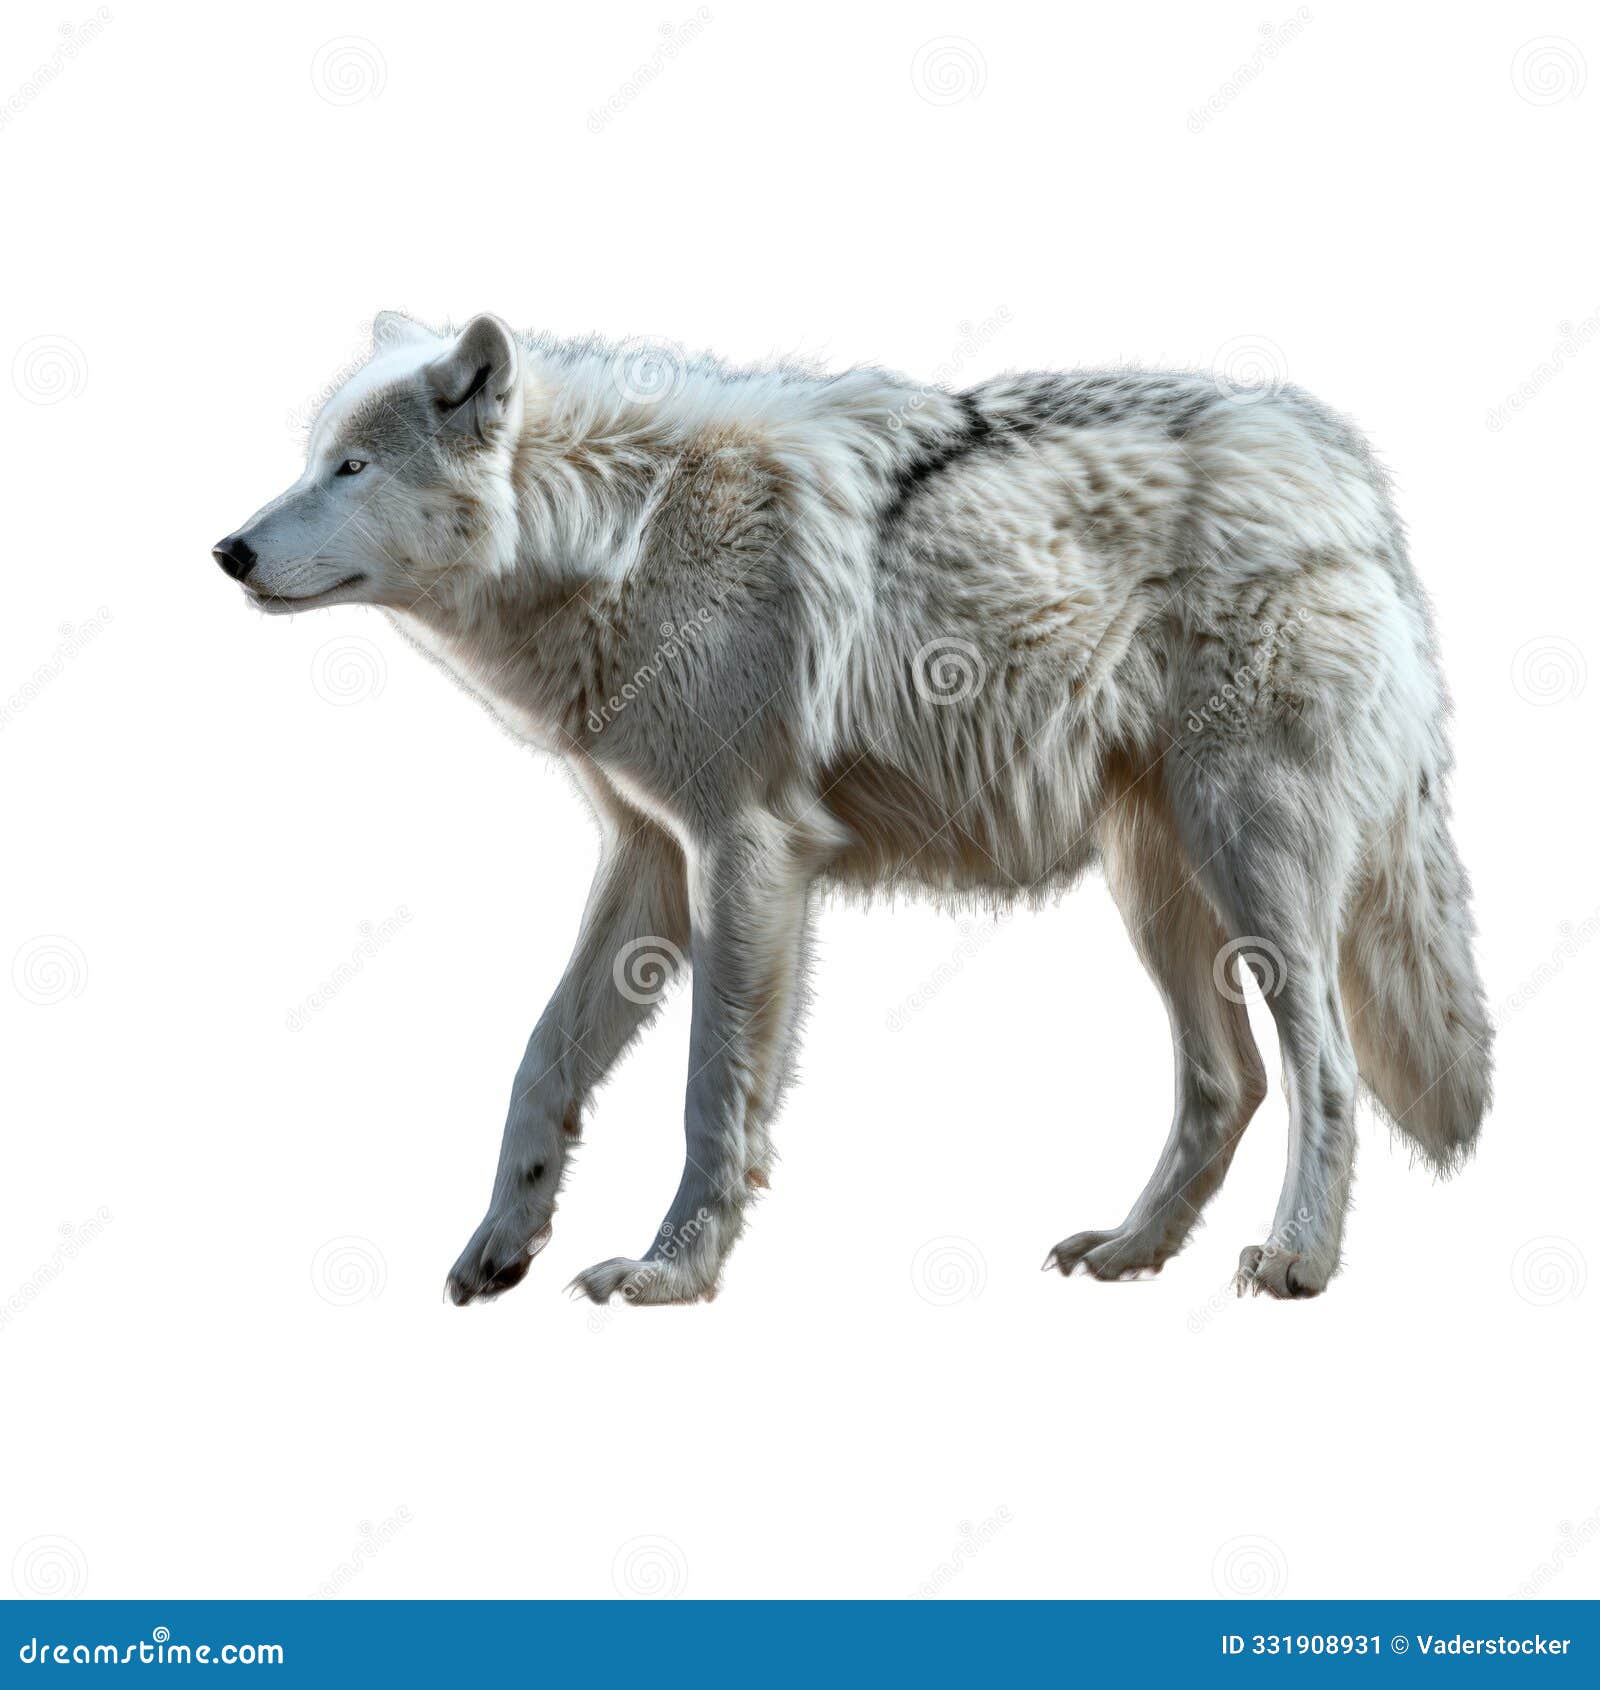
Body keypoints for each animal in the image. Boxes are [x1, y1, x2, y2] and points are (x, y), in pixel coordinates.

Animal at [214, 311, 1492, 1305]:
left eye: (352, 470)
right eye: (315, 460)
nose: (226, 551)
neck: (626, 531)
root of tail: (1350, 474)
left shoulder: (745, 851)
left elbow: (711, 1089)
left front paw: (671, 1271)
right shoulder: (648, 853)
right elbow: (542, 1062)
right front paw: (499, 1245)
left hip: (1253, 862)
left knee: (1323, 1068)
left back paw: (1295, 1260)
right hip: (1151, 883)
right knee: (1229, 1082)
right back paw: (1130, 1251)